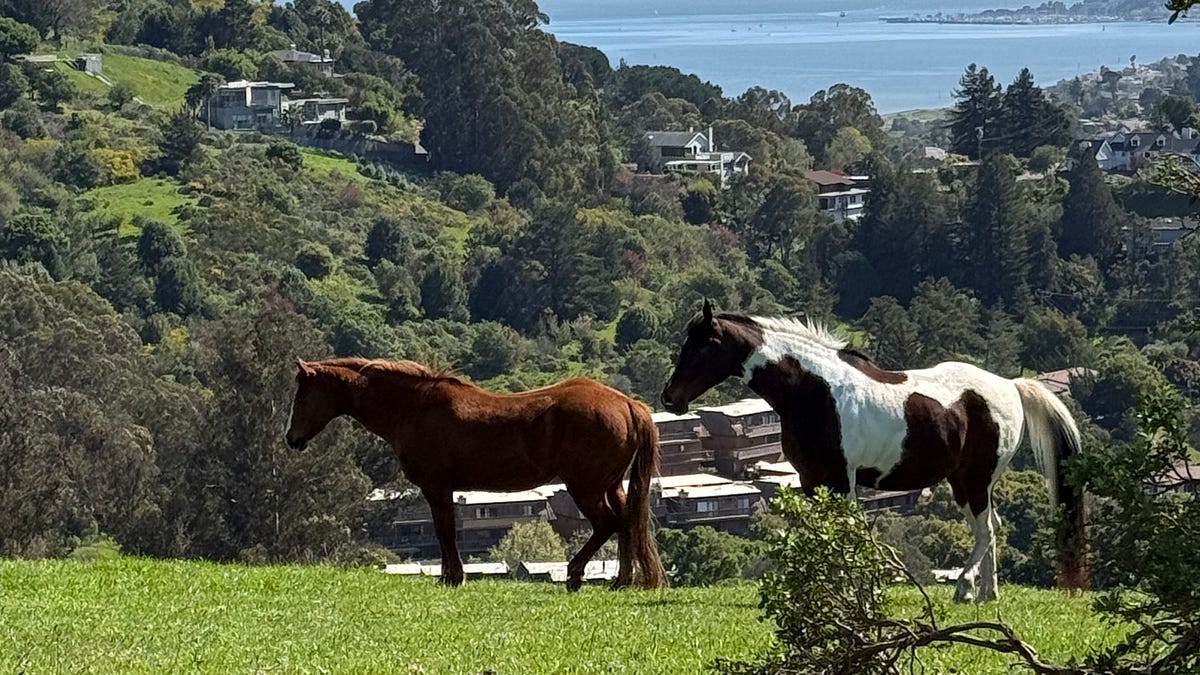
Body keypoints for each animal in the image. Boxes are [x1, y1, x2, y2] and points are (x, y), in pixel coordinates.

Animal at [283, 357, 666, 590]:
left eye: (301, 395)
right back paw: (623, 579)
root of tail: (626, 404)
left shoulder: (436, 487)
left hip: (585, 487)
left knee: (607, 524)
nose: (291, 438)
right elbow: (445, 531)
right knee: (627, 523)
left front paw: (452, 577)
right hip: (611, 486)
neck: (413, 408)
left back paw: (576, 574)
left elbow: (445, 530)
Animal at [660, 300, 1087, 603]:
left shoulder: (840, 479)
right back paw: (988, 593)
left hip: (974, 480)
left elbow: (846, 531)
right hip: (968, 483)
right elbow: (823, 532)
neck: (814, 391)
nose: (670, 398)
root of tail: (1010, 386)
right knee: (992, 527)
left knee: (985, 530)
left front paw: (853, 587)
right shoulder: (811, 480)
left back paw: (965, 588)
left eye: (703, 348)